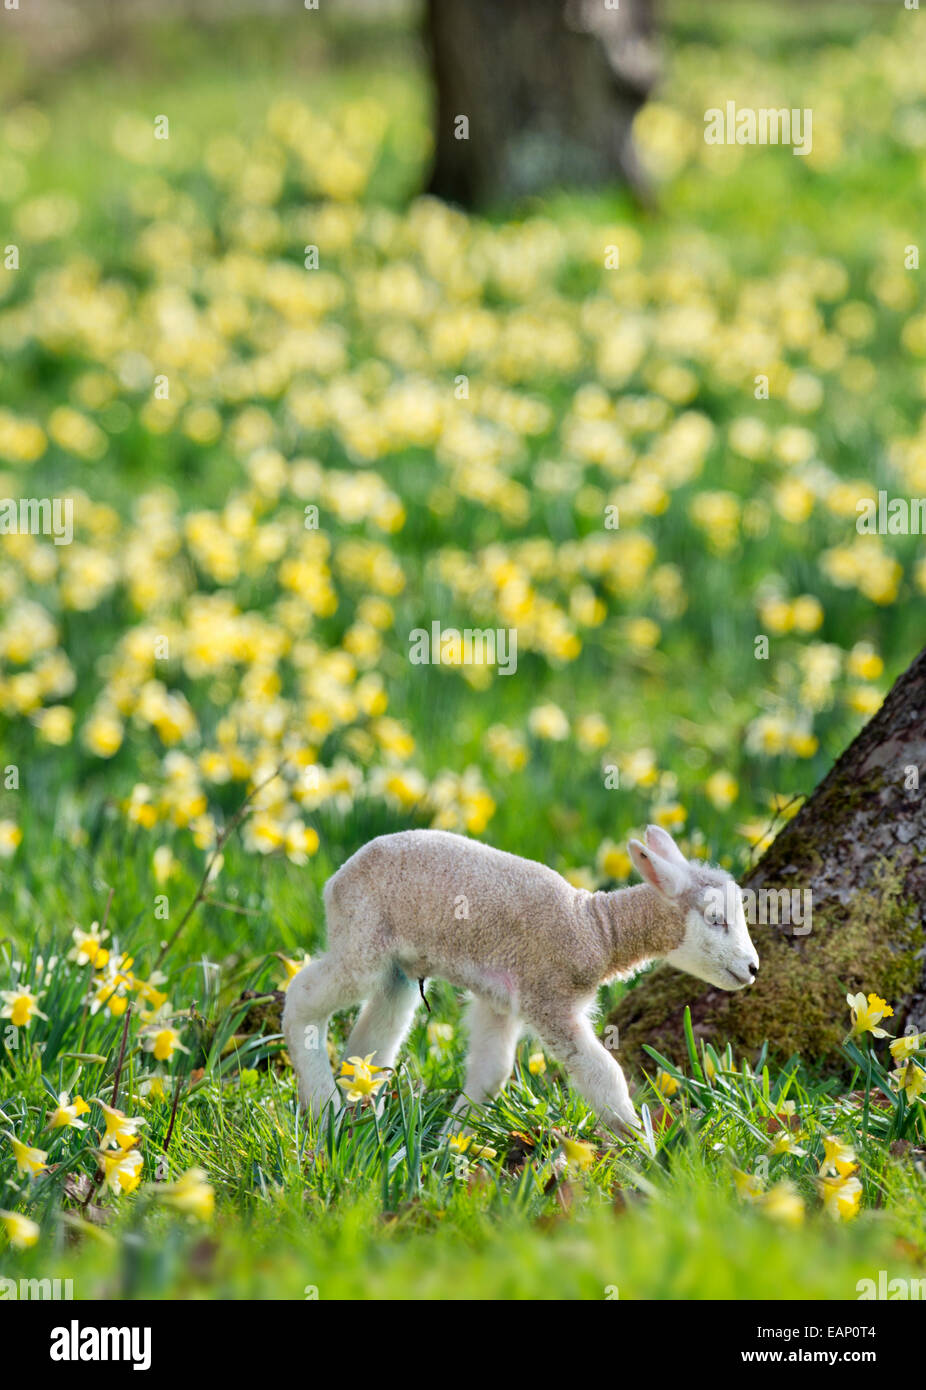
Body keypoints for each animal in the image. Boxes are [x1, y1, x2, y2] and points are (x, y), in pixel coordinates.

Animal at [282, 823, 759, 1135]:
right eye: (716, 919)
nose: (753, 968)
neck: (597, 929)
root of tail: (337, 877)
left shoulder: (502, 1000)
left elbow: (490, 1074)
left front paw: (453, 1144)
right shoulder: (549, 998)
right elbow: (603, 1074)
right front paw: (641, 1146)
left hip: (396, 967)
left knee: (376, 1035)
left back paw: (359, 1110)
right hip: (361, 937)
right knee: (303, 995)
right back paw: (325, 1108)